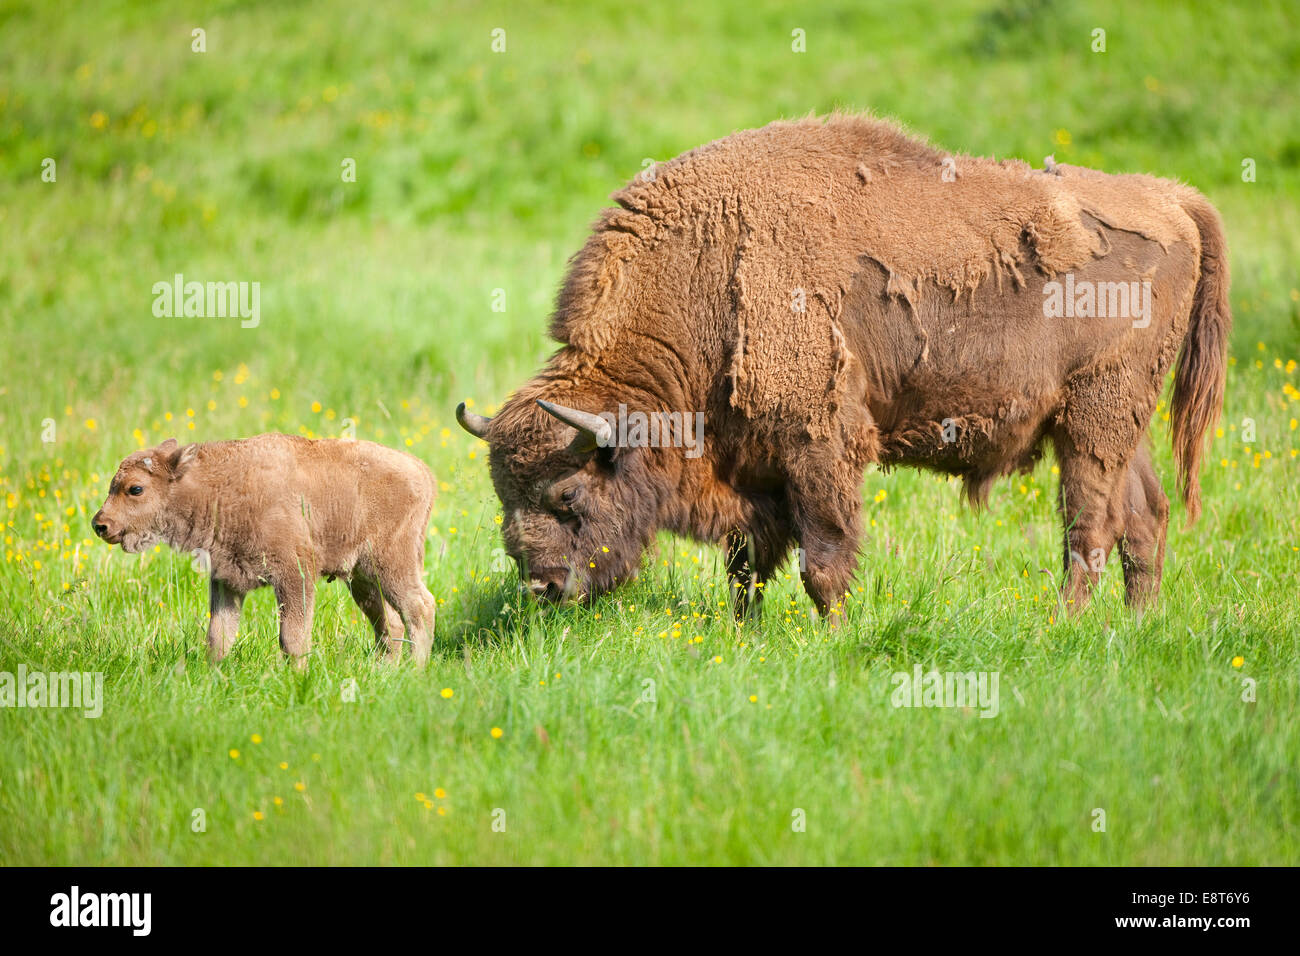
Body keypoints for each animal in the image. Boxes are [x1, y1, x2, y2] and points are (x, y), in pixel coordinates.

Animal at [456, 114, 1230, 624]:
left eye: (567, 496)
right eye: (502, 496)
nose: (542, 589)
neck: (709, 269)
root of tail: (1170, 197)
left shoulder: (821, 446)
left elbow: (823, 558)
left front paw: (834, 633)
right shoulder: (751, 465)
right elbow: (745, 565)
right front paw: (744, 632)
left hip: (1096, 419)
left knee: (1090, 525)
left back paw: (1062, 622)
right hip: (1113, 424)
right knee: (1145, 518)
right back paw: (1135, 624)